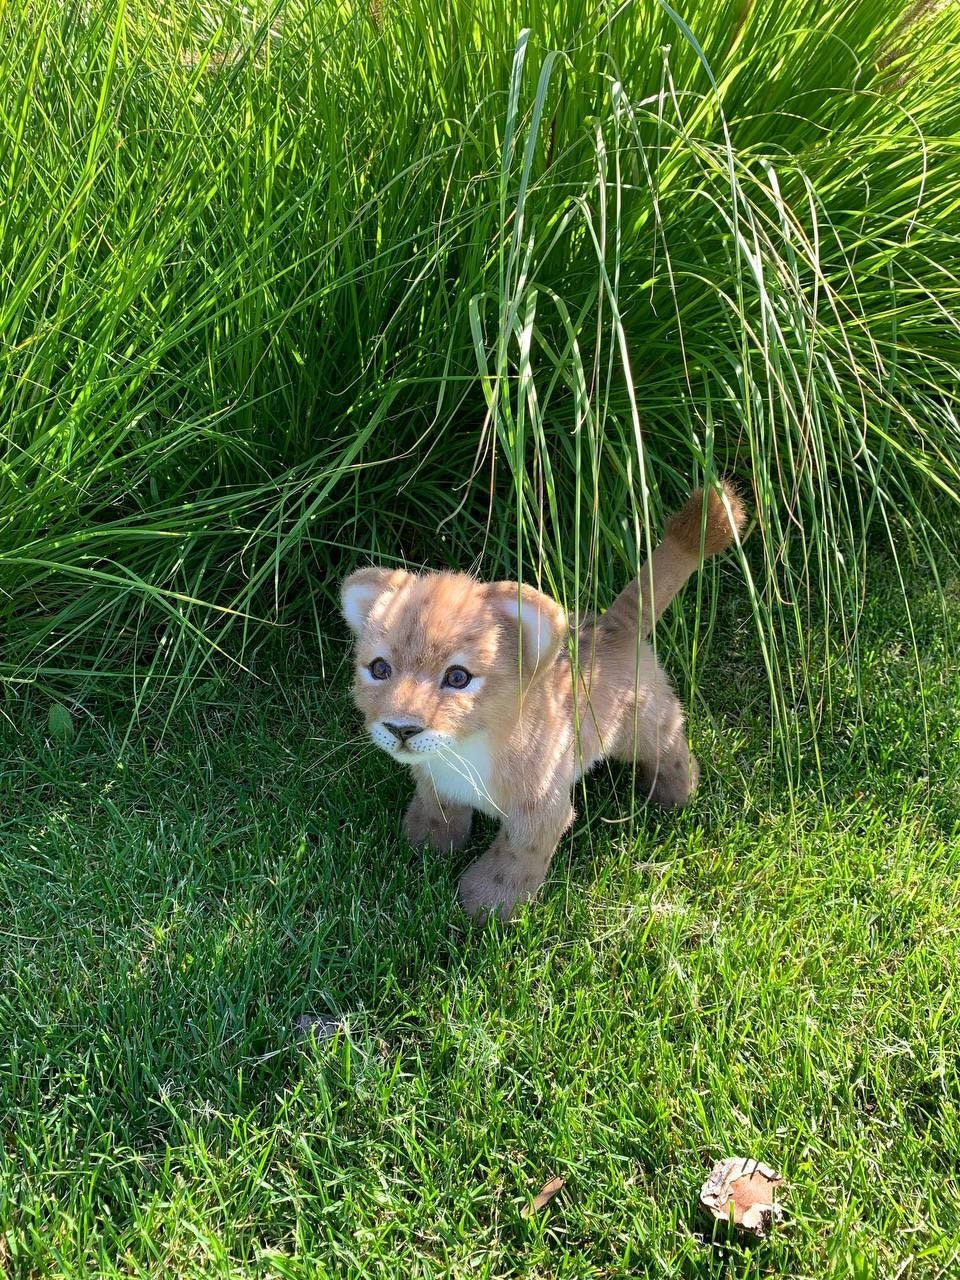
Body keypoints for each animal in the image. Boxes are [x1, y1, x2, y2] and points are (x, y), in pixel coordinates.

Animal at [341, 482, 745, 921]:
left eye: (458, 677)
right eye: (380, 669)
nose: (401, 728)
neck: (461, 752)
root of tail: (611, 626)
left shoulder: (542, 810)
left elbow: (516, 858)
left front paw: (487, 905)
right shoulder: (435, 780)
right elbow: (438, 808)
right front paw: (426, 843)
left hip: (646, 724)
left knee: (670, 747)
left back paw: (675, 794)